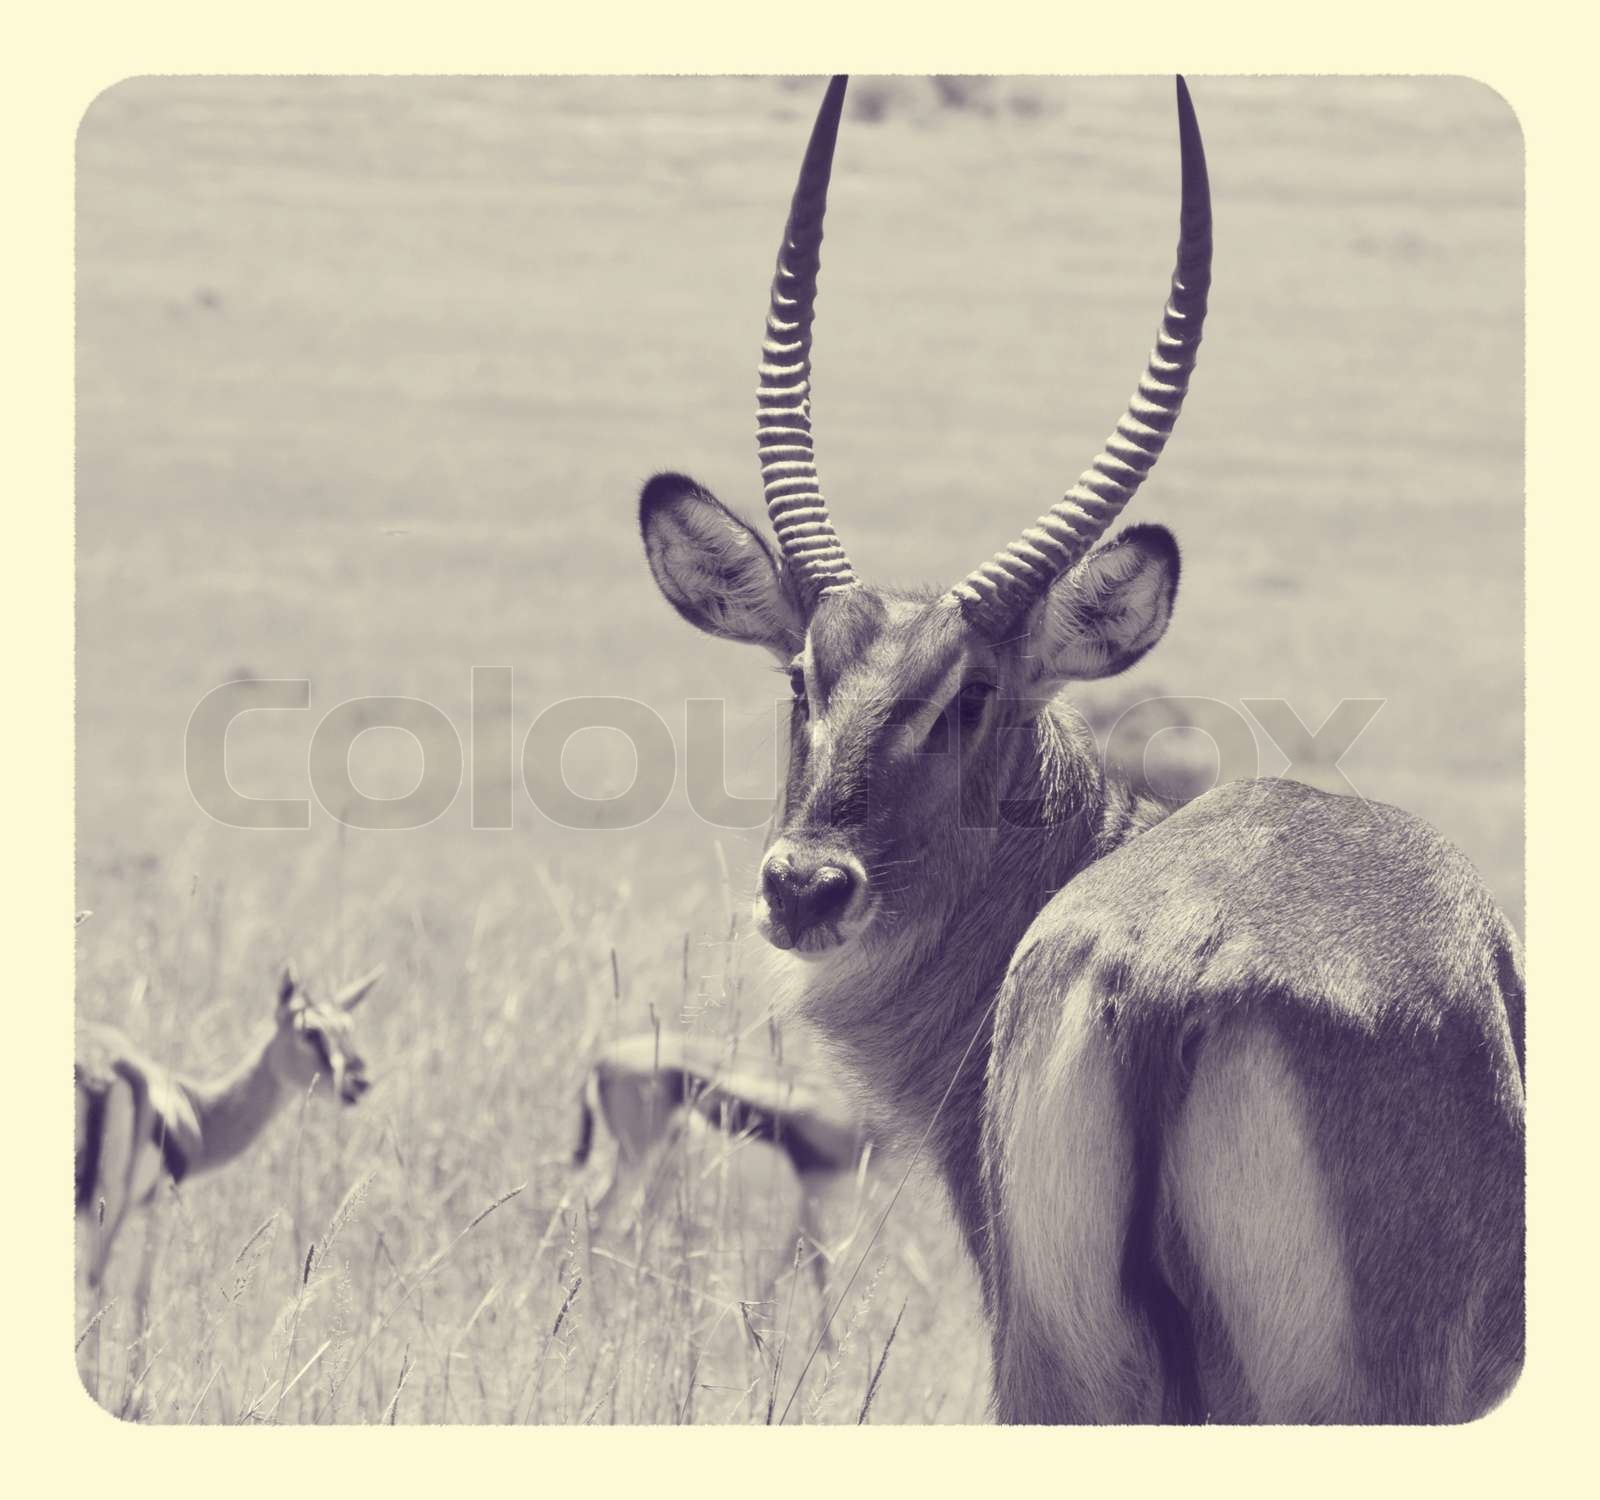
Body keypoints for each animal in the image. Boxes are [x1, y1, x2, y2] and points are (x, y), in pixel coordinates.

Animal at [75, 962, 383, 1288]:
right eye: (310, 1032)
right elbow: (141, 1293)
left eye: (347, 1028)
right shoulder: (161, 1201)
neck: (193, 1106)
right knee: (97, 1280)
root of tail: (98, 1076)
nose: (358, 1082)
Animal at [573, 1032, 870, 1328]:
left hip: (666, 1168)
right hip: (636, 1160)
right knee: (598, 1220)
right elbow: (815, 1267)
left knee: (631, 1230)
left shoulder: (813, 1202)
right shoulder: (812, 1193)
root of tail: (604, 1058)